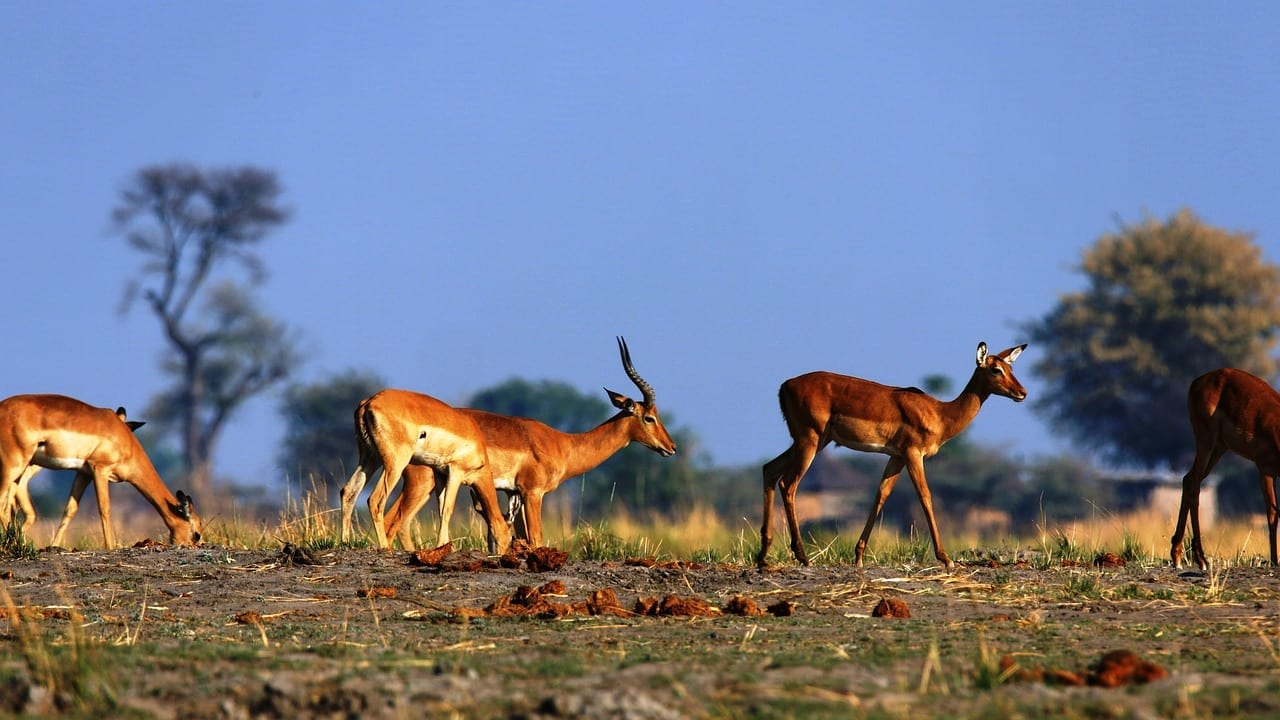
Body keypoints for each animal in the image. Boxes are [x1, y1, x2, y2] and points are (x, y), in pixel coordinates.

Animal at [0, 394, 202, 548]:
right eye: (197, 533)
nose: (197, 545)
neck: (125, 440)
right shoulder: (100, 469)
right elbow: (105, 509)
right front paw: (110, 547)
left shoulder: (84, 473)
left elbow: (70, 509)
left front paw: (53, 546)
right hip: (13, 466)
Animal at [338, 389, 512, 552]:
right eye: (510, 538)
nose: (501, 553)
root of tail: (369, 402)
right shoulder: (455, 472)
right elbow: (448, 510)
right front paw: (441, 545)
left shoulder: (440, 474)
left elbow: (441, 510)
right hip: (395, 465)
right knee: (375, 500)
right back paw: (385, 547)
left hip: (370, 459)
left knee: (348, 491)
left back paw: (345, 542)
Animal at [379, 337, 677, 549]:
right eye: (649, 417)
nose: (671, 447)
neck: (564, 445)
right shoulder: (533, 493)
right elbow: (536, 538)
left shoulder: (514, 494)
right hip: (422, 484)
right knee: (391, 521)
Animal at [758, 342, 1027, 569]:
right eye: (995, 369)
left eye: (1010, 367)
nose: (1022, 392)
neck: (940, 413)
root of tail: (785, 386)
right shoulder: (913, 454)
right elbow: (925, 496)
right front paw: (945, 558)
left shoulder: (896, 457)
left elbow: (881, 495)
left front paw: (859, 556)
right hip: (810, 441)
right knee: (788, 484)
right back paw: (802, 556)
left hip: (813, 442)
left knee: (769, 469)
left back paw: (763, 556)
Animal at [1171, 368, 1280, 569]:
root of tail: (1198, 381)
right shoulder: (1265, 468)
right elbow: (1272, 512)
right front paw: (1275, 561)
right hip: (1206, 441)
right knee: (1193, 484)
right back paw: (1198, 559)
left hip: (1219, 448)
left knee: (1188, 480)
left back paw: (1182, 557)